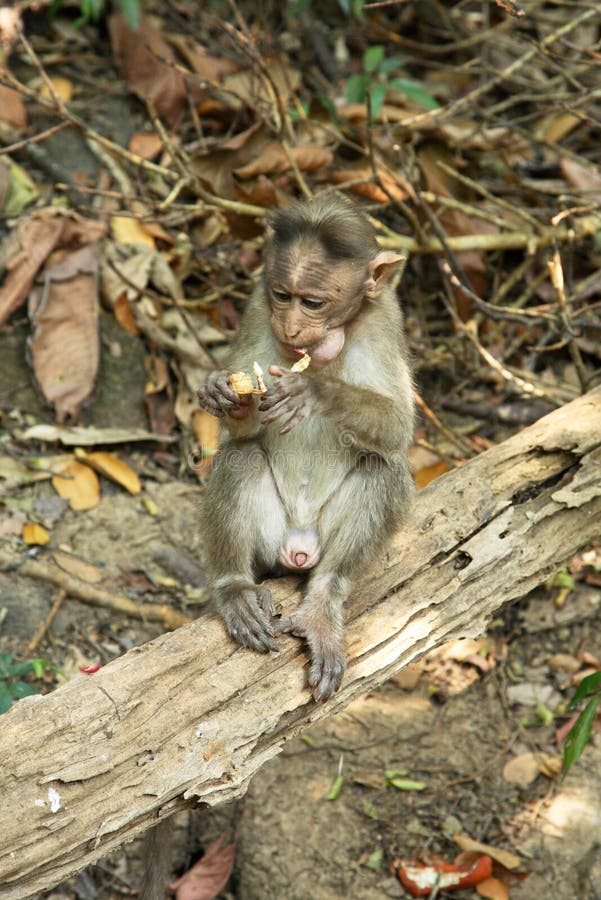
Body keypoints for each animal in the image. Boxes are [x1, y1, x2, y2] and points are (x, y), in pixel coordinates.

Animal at [198, 194, 414, 701]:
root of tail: (297, 545)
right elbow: (240, 435)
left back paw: (322, 603)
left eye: (313, 302)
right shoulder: (256, 308)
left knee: (383, 466)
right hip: (269, 539)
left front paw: (313, 389)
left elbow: (399, 428)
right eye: (282, 295)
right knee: (240, 458)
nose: (291, 326)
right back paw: (234, 588)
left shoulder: (385, 319)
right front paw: (226, 394)